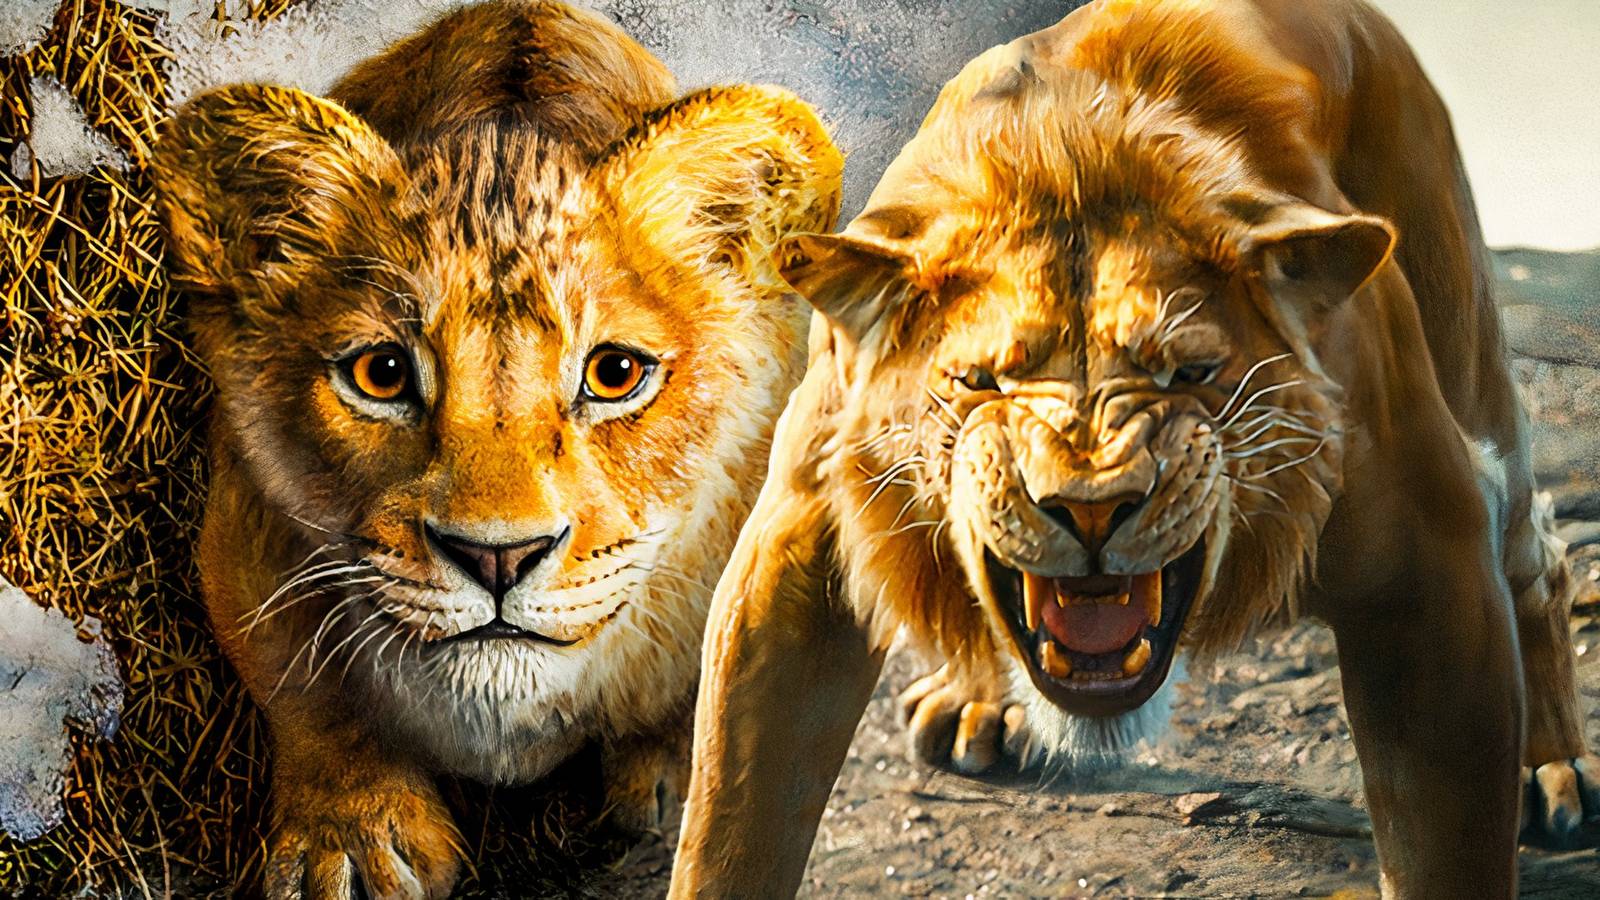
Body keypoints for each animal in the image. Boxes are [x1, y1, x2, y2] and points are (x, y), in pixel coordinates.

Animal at [150, 2, 840, 896]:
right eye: (381, 374)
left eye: (616, 373)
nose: (499, 558)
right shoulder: (243, 526)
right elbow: (303, 686)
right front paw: (354, 840)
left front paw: (670, 783)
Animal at [668, 0, 1599, 896]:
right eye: (980, 382)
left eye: (1188, 371)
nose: (1090, 510)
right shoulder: (794, 553)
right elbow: (731, 830)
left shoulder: (1431, 561)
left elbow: (1444, 848)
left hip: (1467, 356)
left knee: (1538, 559)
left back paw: (1552, 773)